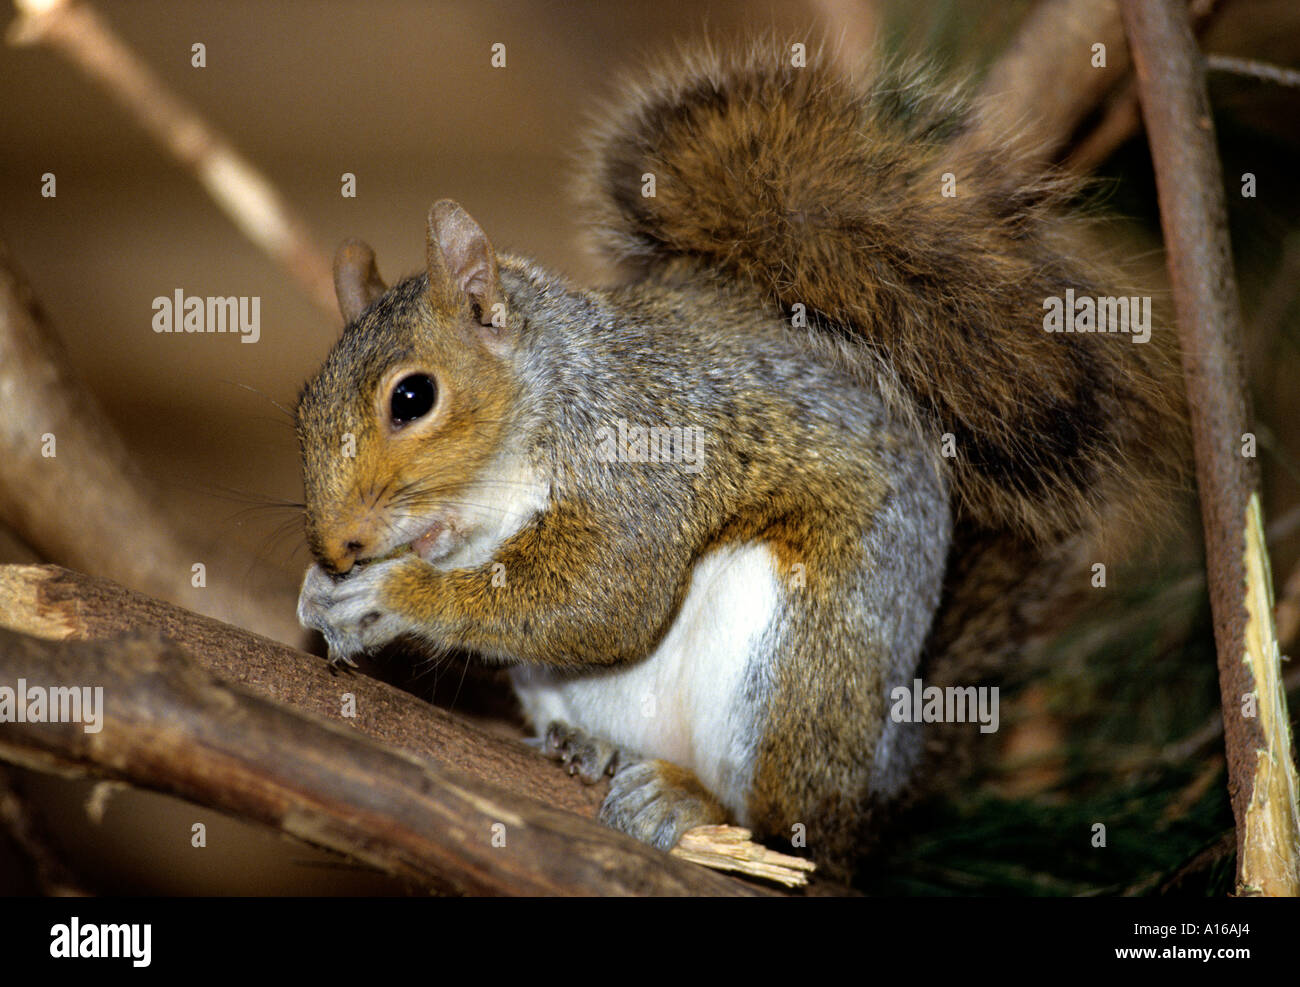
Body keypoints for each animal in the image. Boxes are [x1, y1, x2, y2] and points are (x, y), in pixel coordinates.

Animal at [295, 40, 1187, 882]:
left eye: (413, 397)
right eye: (302, 404)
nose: (336, 545)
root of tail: (877, 792)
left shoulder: (638, 451)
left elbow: (604, 596)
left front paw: (391, 594)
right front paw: (322, 593)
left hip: (790, 671)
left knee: (783, 823)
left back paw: (694, 801)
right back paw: (590, 748)